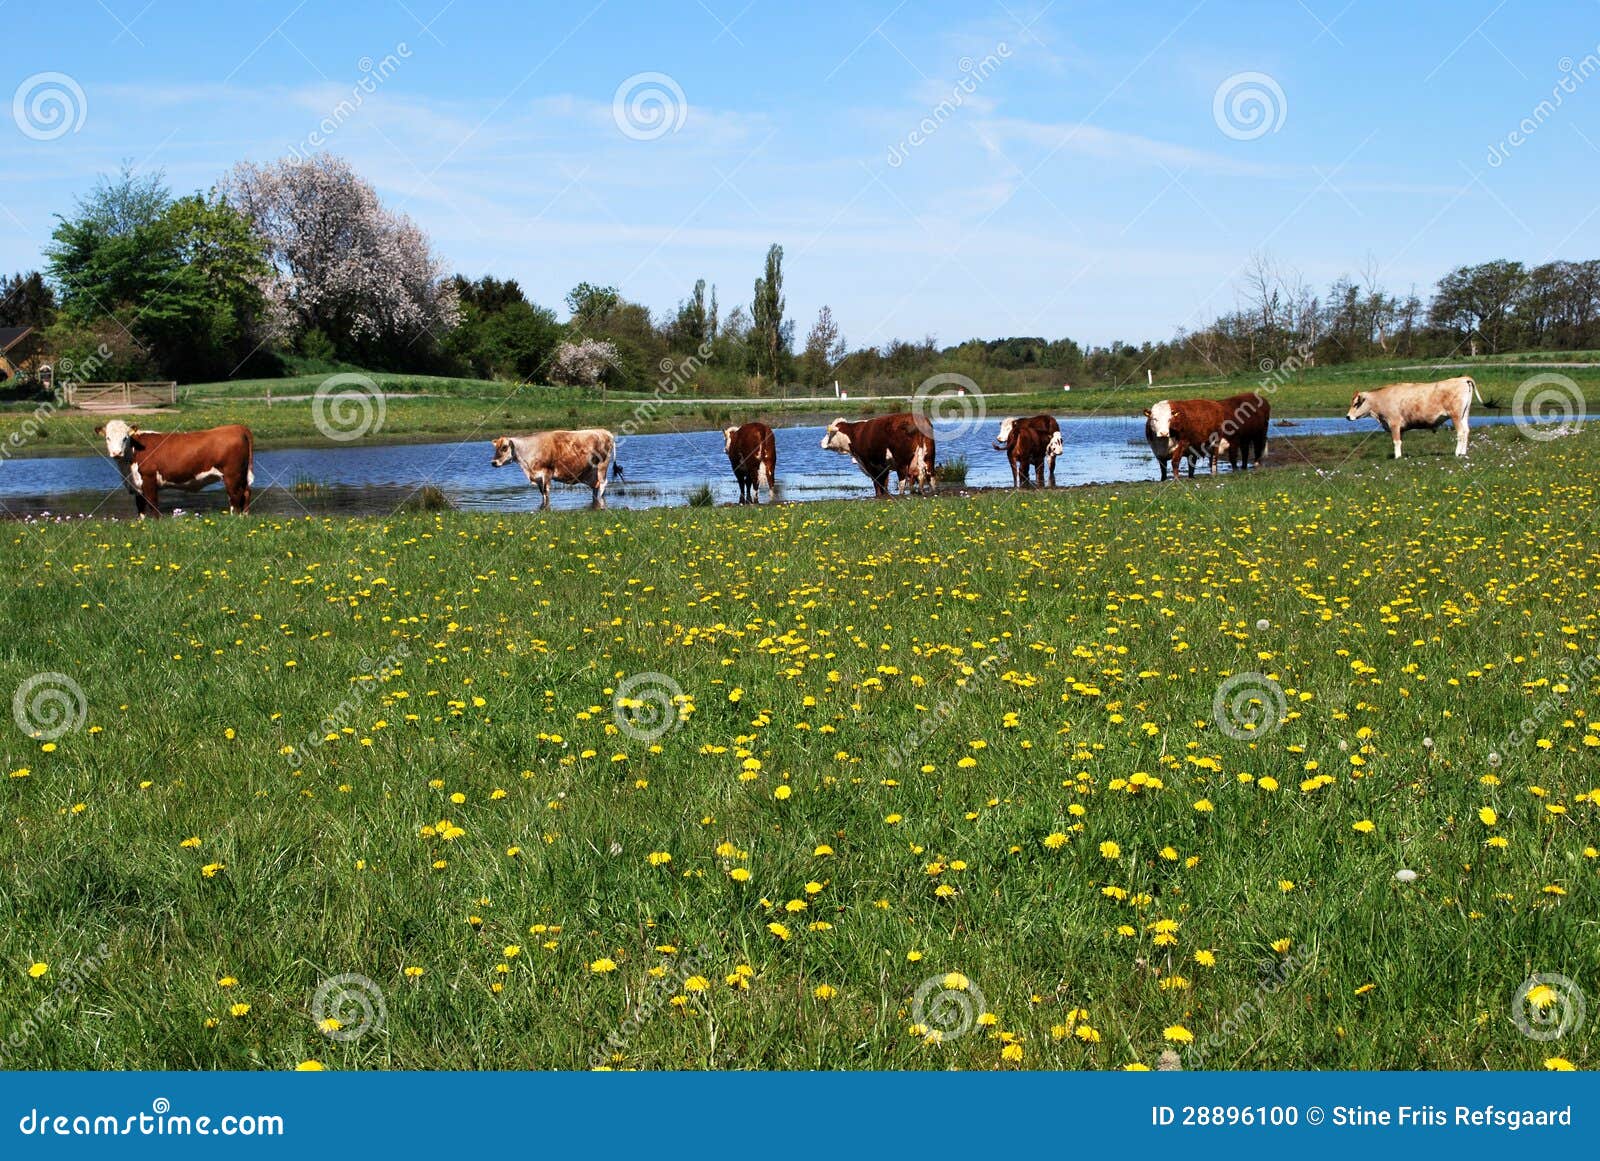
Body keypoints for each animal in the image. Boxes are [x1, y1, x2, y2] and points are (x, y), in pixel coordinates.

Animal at [95, 419, 254, 517]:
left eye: (125, 438)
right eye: (108, 438)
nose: (116, 453)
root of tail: (237, 427)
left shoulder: (149, 479)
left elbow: (153, 506)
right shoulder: (137, 487)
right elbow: (141, 509)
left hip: (232, 475)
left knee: (235, 497)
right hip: (241, 475)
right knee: (246, 493)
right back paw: (244, 516)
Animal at [1346, 376, 1482, 458]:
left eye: (1356, 404)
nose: (1347, 416)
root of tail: (1462, 378)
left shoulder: (1394, 423)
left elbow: (1396, 441)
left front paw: (1397, 457)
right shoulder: (1400, 428)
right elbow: (1400, 441)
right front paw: (1400, 455)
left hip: (1455, 416)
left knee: (1460, 433)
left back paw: (1457, 453)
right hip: (1464, 415)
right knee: (1466, 431)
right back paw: (1463, 453)